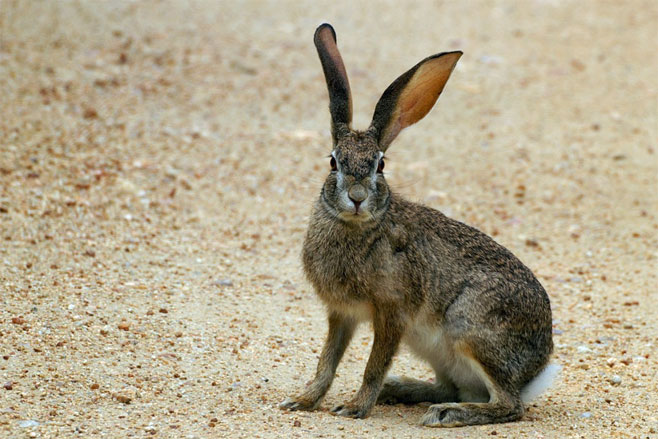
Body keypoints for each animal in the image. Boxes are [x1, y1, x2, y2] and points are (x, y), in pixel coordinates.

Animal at [280, 23, 556, 427]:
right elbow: (327, 361)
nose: (357, 197)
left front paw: (355, 407)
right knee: (453, 387)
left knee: (508, 404)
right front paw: (303, 400)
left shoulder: (393, 312)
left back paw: (445, 413)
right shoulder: (341, 314)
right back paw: (402, 390)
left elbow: (373, 365)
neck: (360, 227)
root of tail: (537, 369)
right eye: (333, 162)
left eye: (380, 165)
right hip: (435, 349)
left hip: (468, 328)